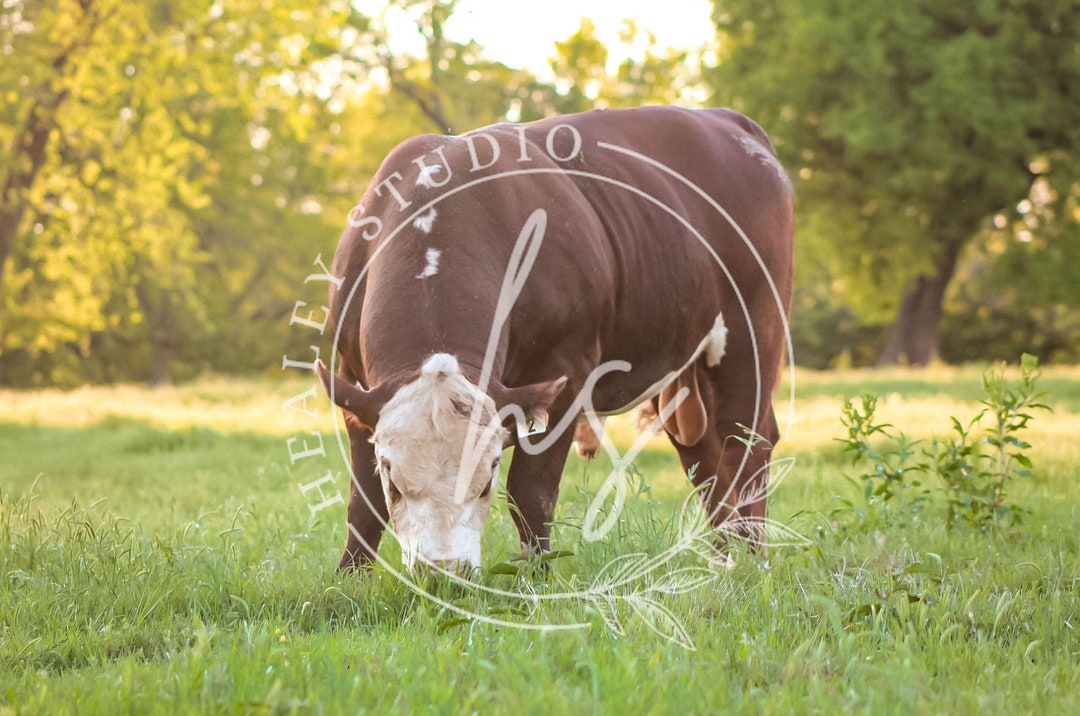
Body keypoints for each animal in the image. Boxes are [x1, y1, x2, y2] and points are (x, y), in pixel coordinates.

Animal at [316, 106, 793, 574]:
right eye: (391, 474)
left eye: (488, 475)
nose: (443, 571)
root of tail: (728, 119)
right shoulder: (353, 380)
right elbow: (363, 500)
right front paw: (350, 577)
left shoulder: (566, 370)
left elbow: (531, 490)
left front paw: (538, 578)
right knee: (704, 457)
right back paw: (722, 560)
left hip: (753, 332)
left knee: (746, 442)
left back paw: (752, 560)